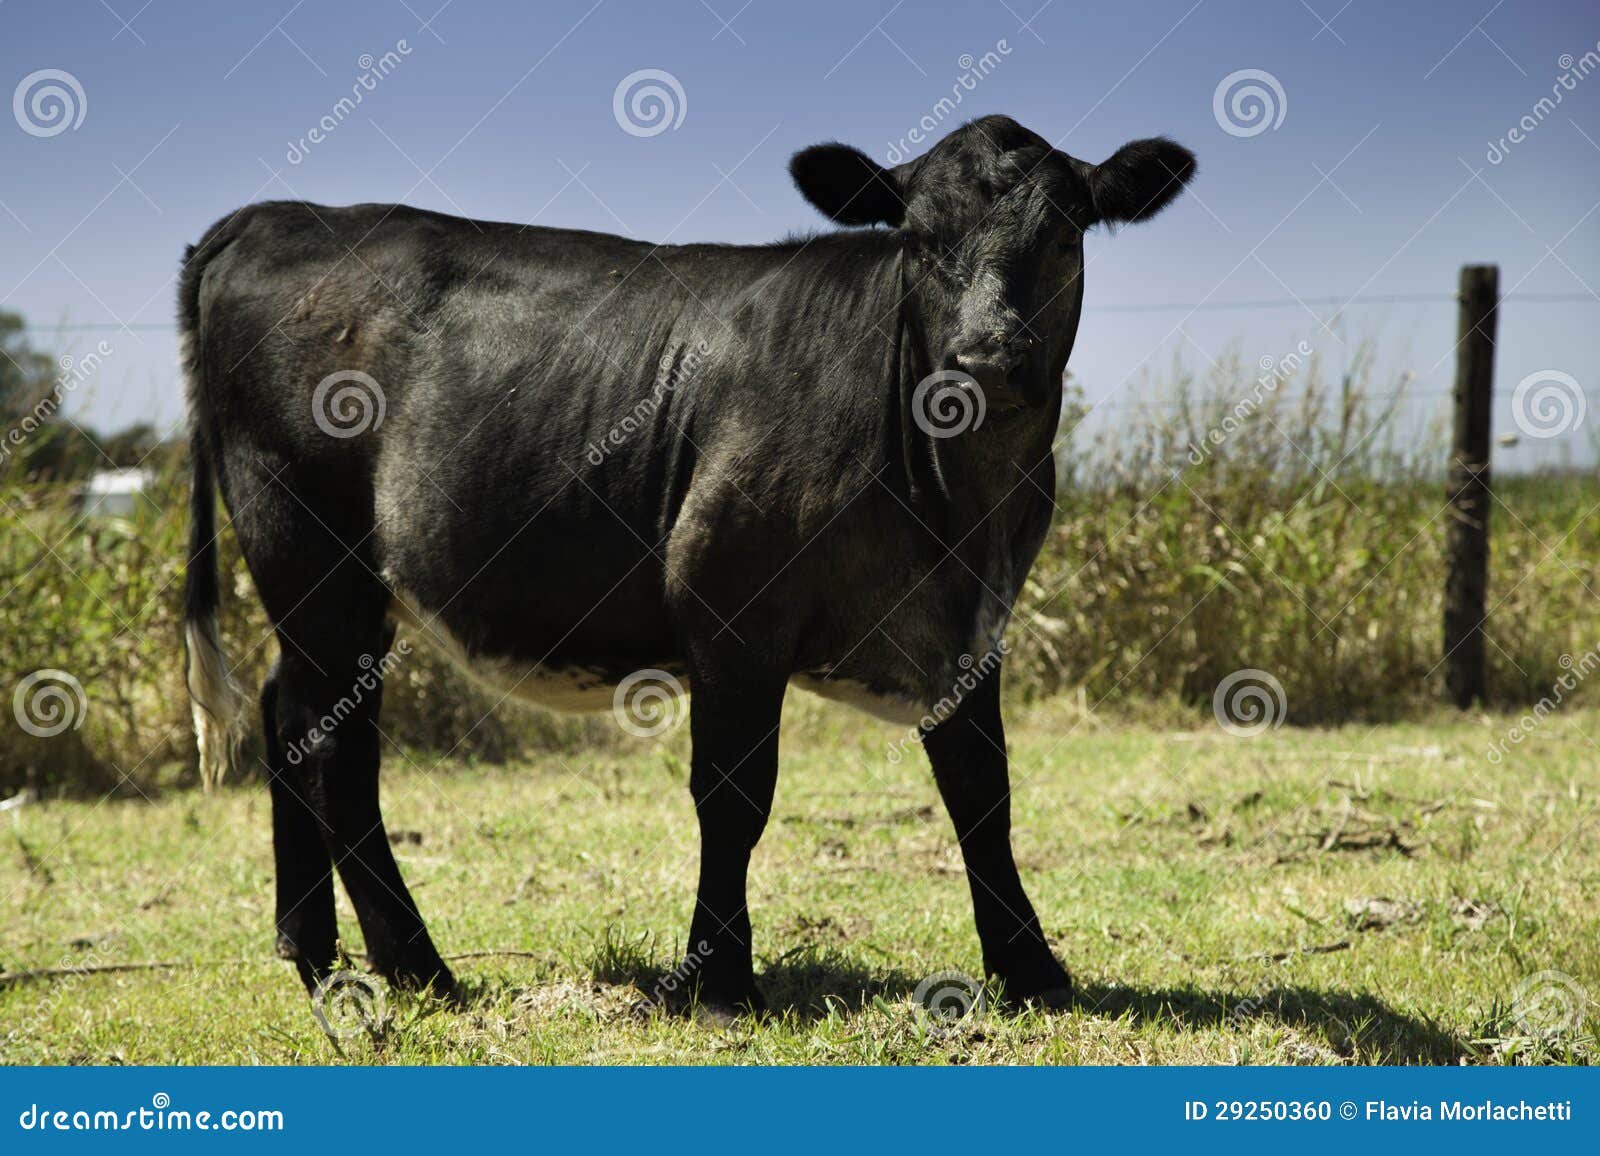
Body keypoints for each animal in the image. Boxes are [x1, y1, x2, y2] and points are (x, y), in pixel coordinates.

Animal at [181, 114, 1194, 1020]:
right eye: (917, 238)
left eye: (1063, 233)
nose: (984, 358)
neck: (954, 507)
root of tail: (274, 215)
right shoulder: (729, 604)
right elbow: (734, 793)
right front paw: (719, 985)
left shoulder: (972, 625)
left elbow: (984, 792)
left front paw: (1031, 971)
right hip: (310, 555)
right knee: (336, 751)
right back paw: (417, 968)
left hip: (334, 596)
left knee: (291, 715)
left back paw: (313, 949)